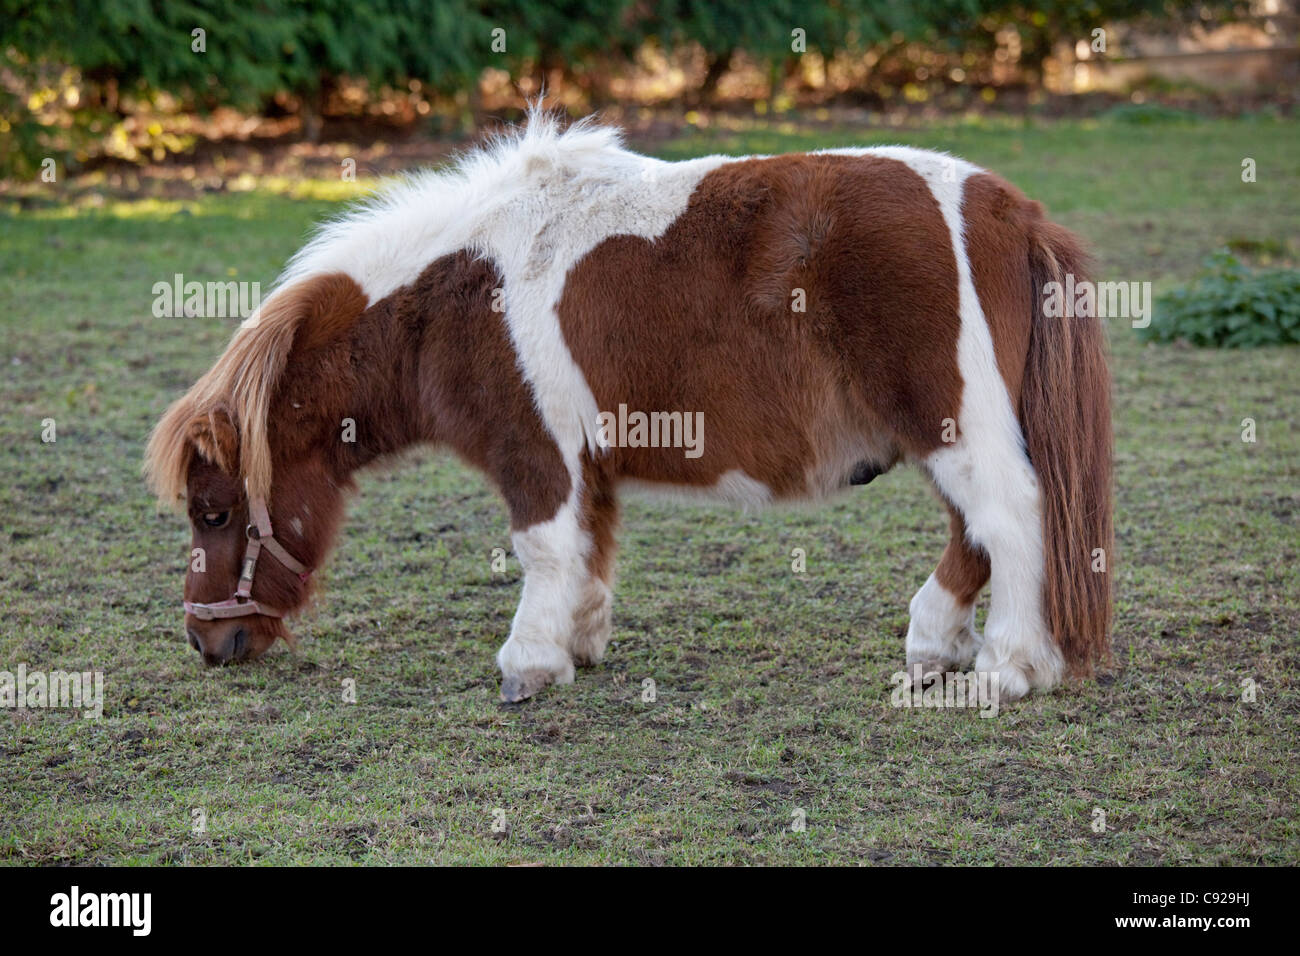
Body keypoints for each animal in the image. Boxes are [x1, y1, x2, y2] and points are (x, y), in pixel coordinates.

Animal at [145, 111, 1112, 703]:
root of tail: (1007, 210)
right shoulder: (587, 463)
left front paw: (529, 664)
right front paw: (577, 641)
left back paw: (1007, 670)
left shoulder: (535, 454)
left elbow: (541, 547)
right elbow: (589, 548)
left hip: (954, 425)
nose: (203, 644)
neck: (457, 296)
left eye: (215, 511)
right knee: (974, 531)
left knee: (1011, 517)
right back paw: (932, 647)